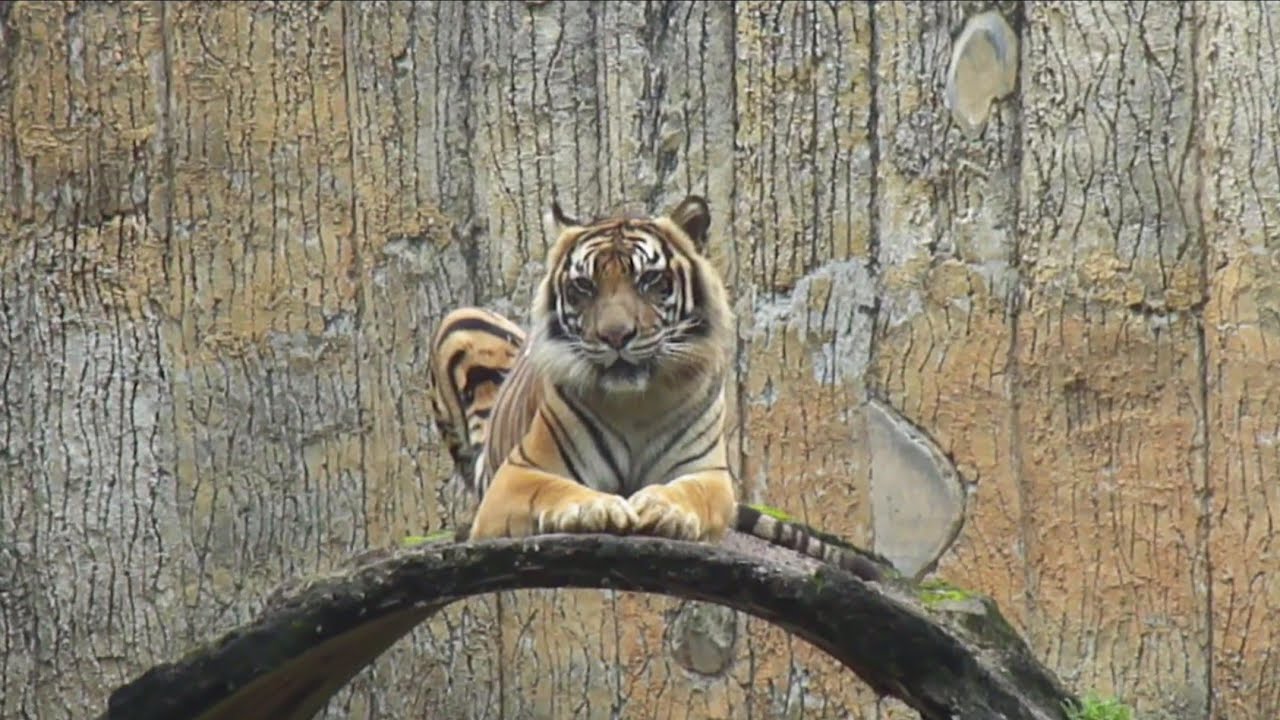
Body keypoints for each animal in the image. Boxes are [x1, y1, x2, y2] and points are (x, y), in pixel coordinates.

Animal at [427, 195, 884, 582]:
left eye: (649, 280)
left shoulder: (708, 474)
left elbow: (690, 493)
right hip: (459, 323)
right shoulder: (517, 474)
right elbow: (554, 487)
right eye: (584, 286)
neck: (636, 404)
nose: (615, 335)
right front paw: (597, 506)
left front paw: (663, 509)